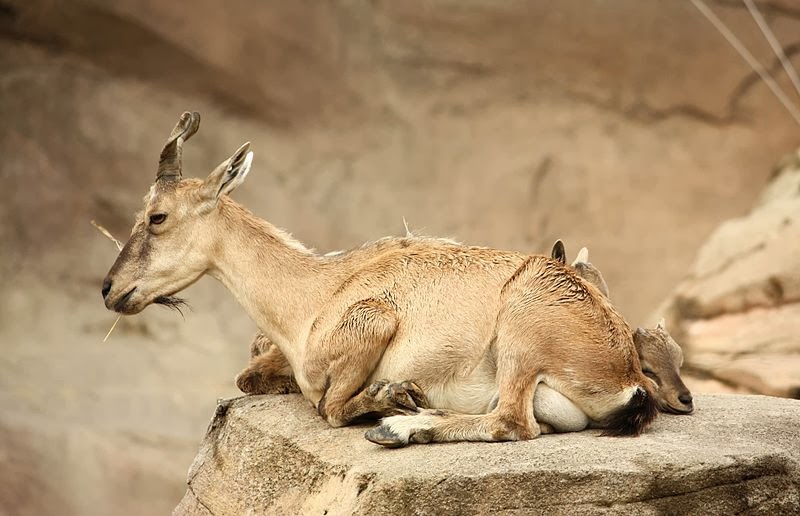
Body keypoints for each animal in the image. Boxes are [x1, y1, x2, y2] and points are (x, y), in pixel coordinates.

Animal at [101, 112, 658, 446]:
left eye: (156, 216)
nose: (110, 289)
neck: (313, 295)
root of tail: (627, 377)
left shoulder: (373, 321)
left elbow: (329, 406)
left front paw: (390, 398)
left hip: (521, 331)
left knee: (513, 422)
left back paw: (401, 426)